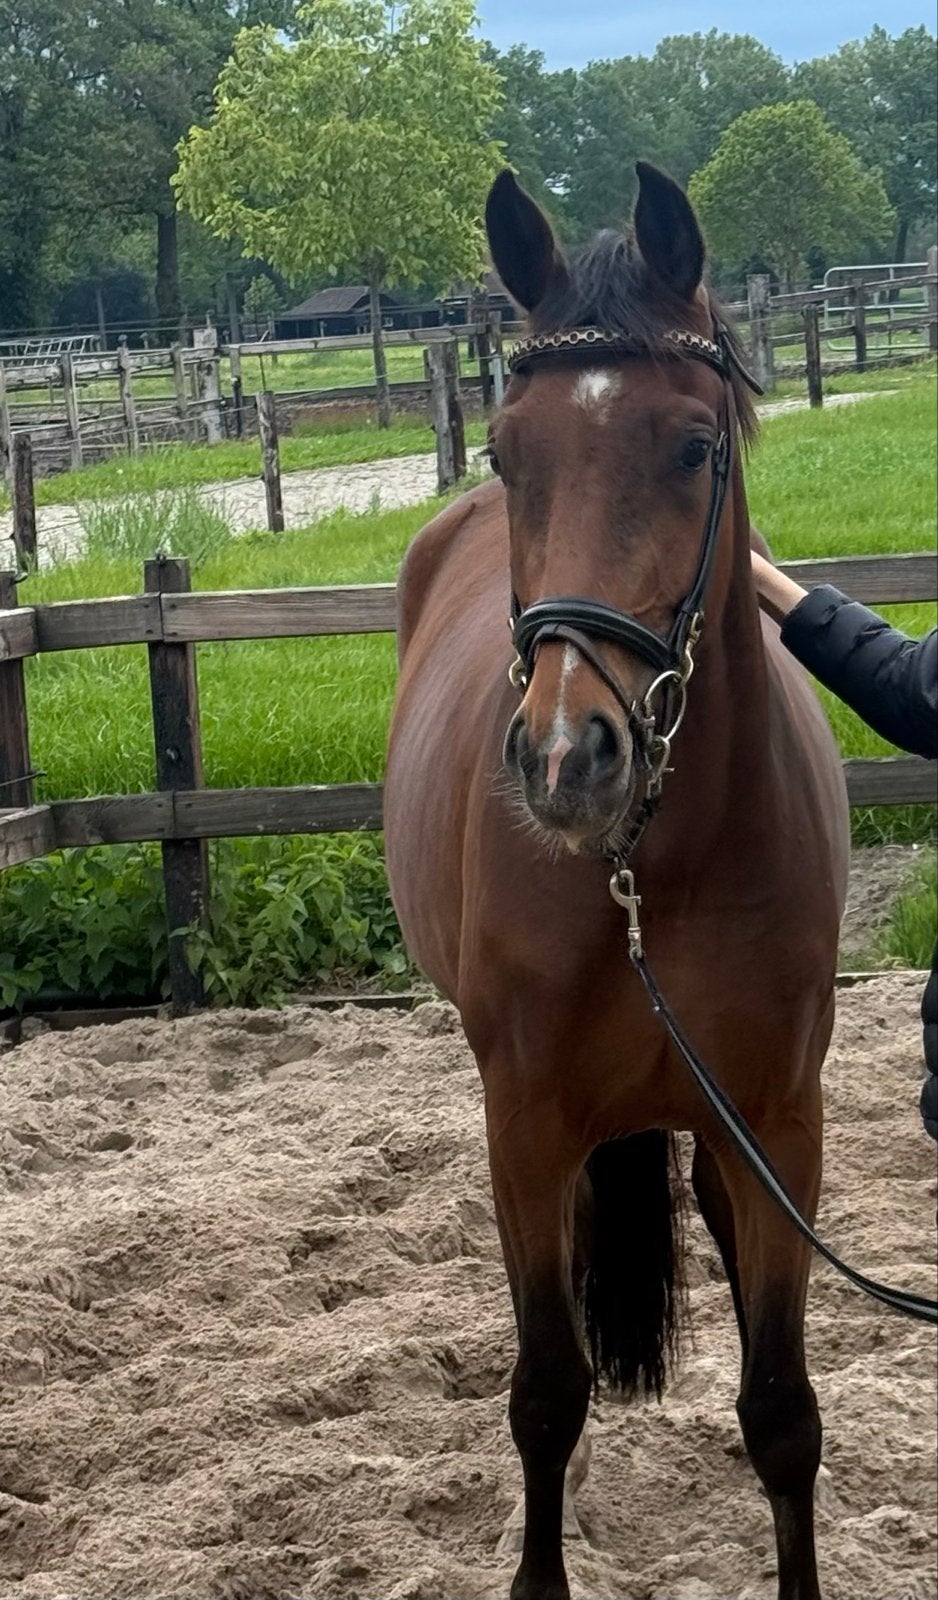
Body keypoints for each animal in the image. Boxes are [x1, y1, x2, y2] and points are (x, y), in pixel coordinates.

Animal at [383, 162, 849, 1600]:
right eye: (506, 453)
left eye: (693, 448)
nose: (564, 757)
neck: (657, 861)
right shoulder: (524, 1128)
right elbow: (545, 1391)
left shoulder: (776, 1128)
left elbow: (781, 1410)